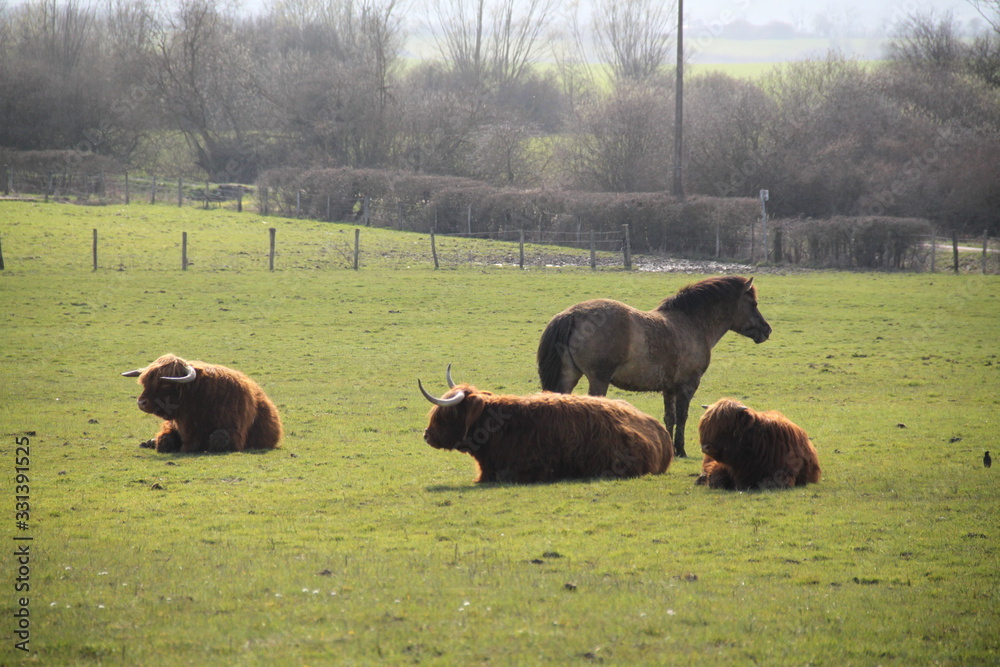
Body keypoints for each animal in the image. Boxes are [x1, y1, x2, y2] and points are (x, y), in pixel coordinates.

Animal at [121, 353, 282, 453]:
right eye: (145, 382)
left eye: (165, 384)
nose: (141, 402)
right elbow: (165, 440)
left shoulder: (234, 433)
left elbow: (218, 439)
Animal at [536, 276, 771, 457]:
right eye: (754, 304)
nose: (767, 330)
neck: (691, 324)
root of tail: (572, 315)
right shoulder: (687, 385)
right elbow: (682, 416)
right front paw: (680, 450)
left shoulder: (669, 388)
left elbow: (670, 417)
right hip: (598, 379)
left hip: (569, 376)